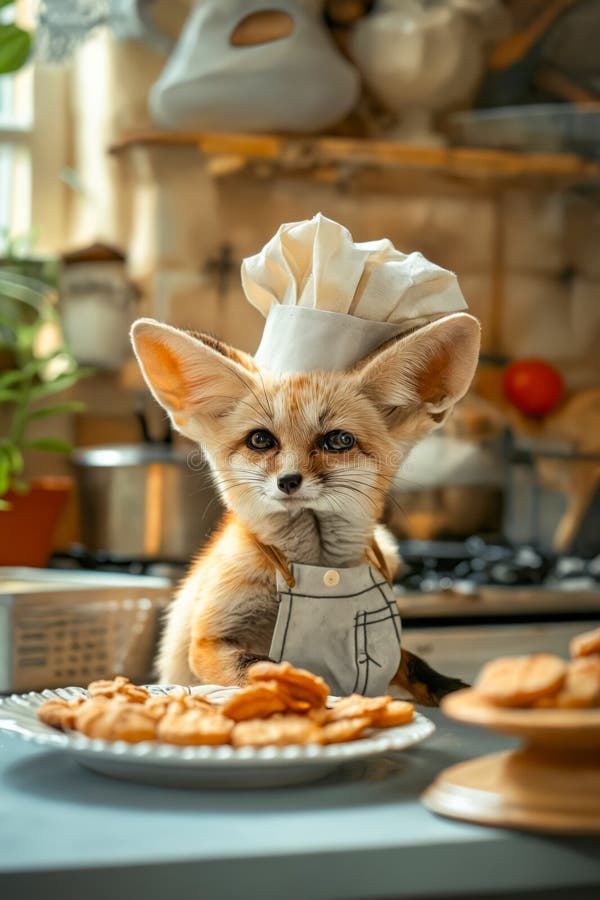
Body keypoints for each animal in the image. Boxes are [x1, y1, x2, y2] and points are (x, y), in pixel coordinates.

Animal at [131, 310, 481, 705]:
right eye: (260, 440)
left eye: (338, 440)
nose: (288, 481)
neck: (319, 569)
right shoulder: (210, 639)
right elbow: (260, 665)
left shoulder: (385, 642)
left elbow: (415, 663)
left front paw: (450, 689)